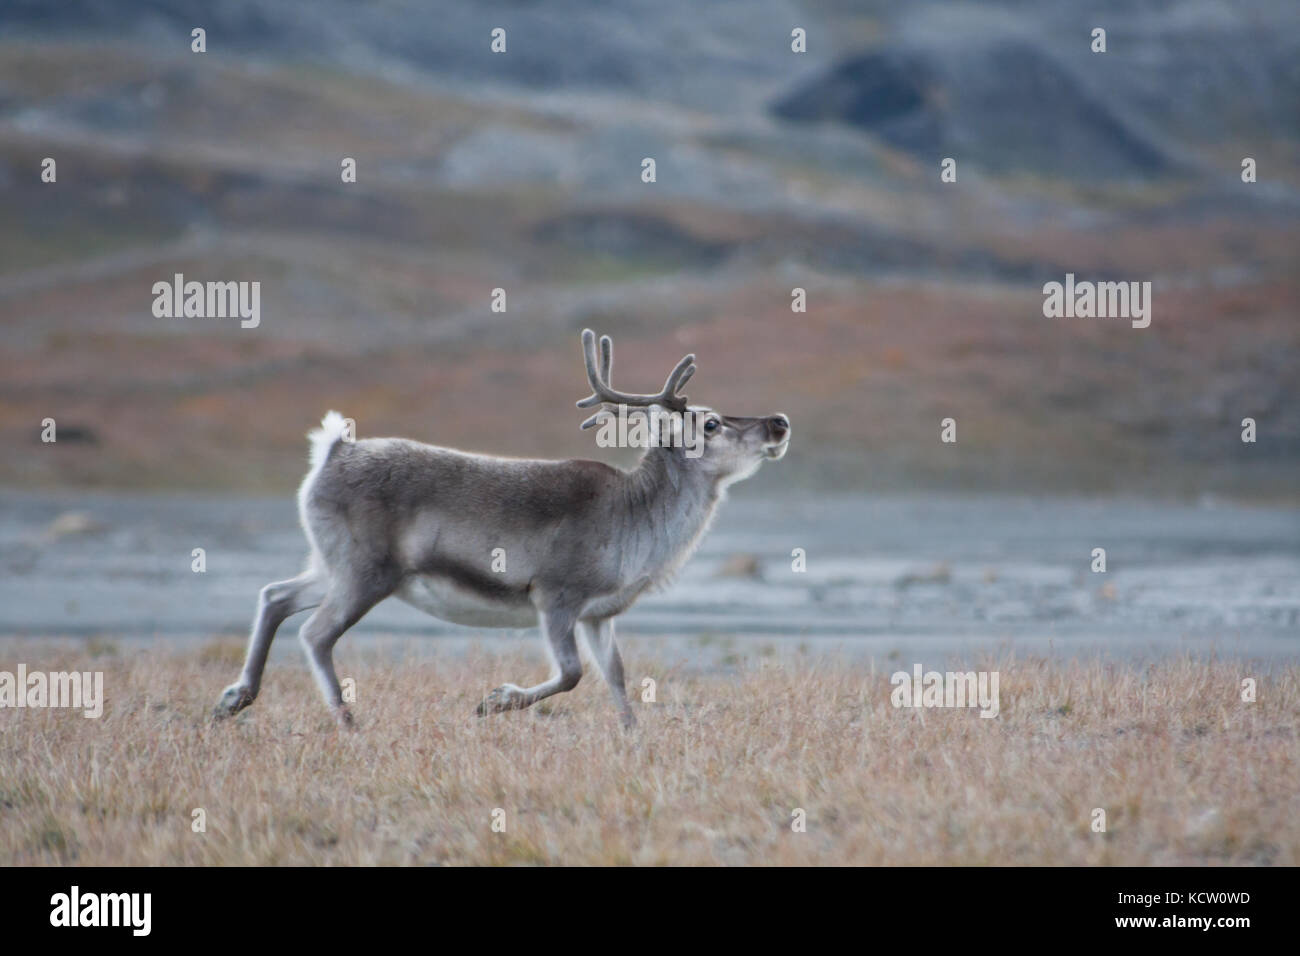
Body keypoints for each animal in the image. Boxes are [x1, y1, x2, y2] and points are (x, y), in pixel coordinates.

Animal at [214, 329, 791, 728]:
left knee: (274, 595)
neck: (637, 521)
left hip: (330, 564)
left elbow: (618, 678)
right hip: (365, 572)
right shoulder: (555, 596)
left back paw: (235, 699)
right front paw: (495, 701)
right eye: (710, 423)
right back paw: (346, 721)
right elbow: (572, 674)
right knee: (315, 633)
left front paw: (634, 735)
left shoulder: (599, 614)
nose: (779, 422)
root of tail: (331, 451)